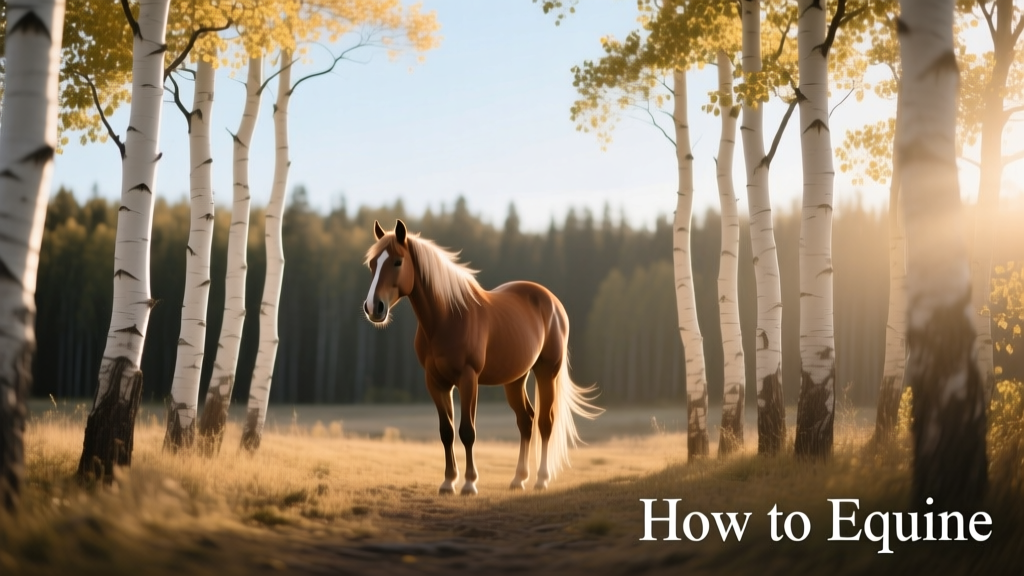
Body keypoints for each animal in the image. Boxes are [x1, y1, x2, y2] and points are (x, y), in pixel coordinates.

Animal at [363, 219, 603, 495]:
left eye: (397, 262)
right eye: (372, 263)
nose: (373, 308)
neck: (447, 319)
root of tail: (552, 302)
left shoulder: (469, 379)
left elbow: (467, 431)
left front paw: (469, 483)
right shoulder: (436, 382)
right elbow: (446, 431)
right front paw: (448, 482)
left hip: (546, 372)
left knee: (545, 422)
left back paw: (541, 479)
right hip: (515, 379)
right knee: (526, 421)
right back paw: (518, 479)